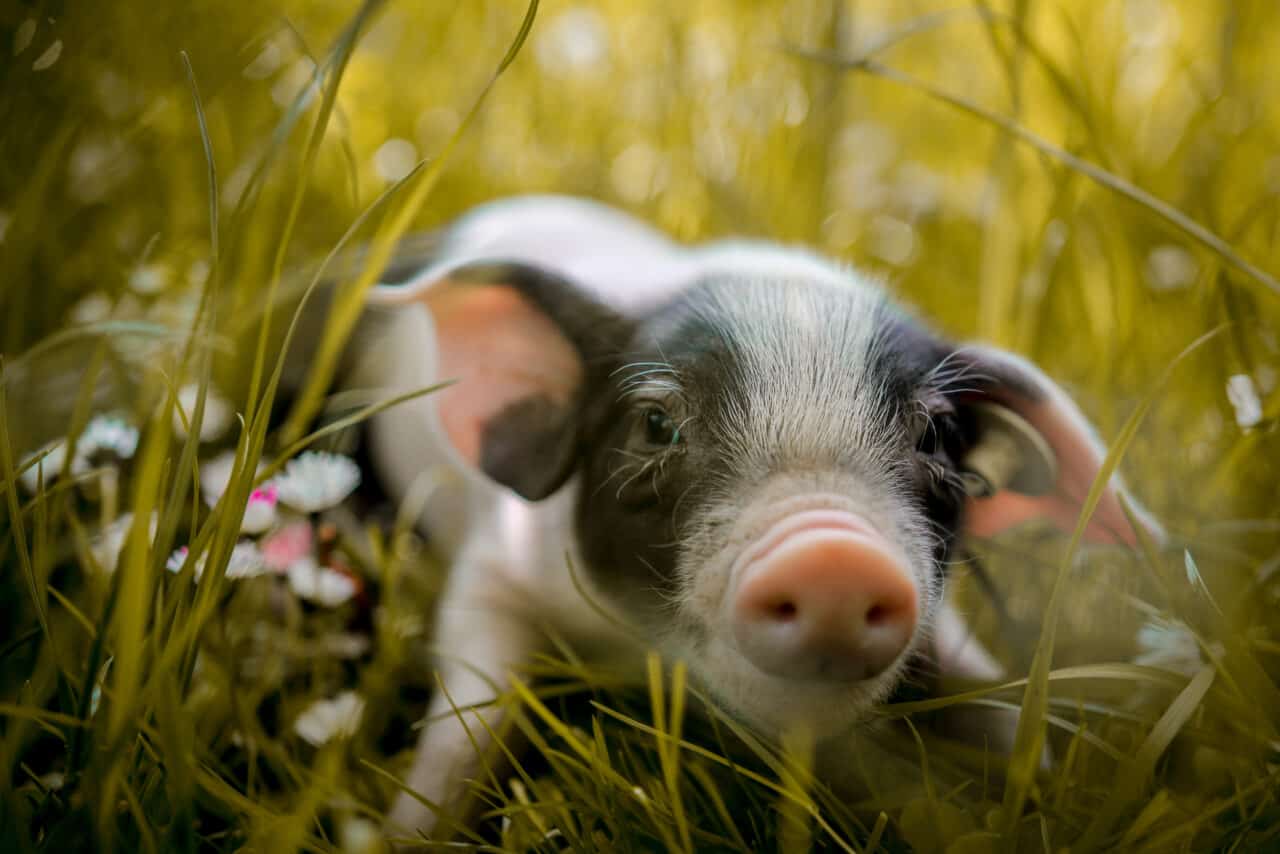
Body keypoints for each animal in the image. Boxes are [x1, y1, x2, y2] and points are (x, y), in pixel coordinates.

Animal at [344, 195, 1160, 842]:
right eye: (656, 424)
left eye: (934, 434)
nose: (833, 557)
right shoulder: (498, 560)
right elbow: (472, 711)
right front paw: (402, 836)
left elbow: (994, 704)